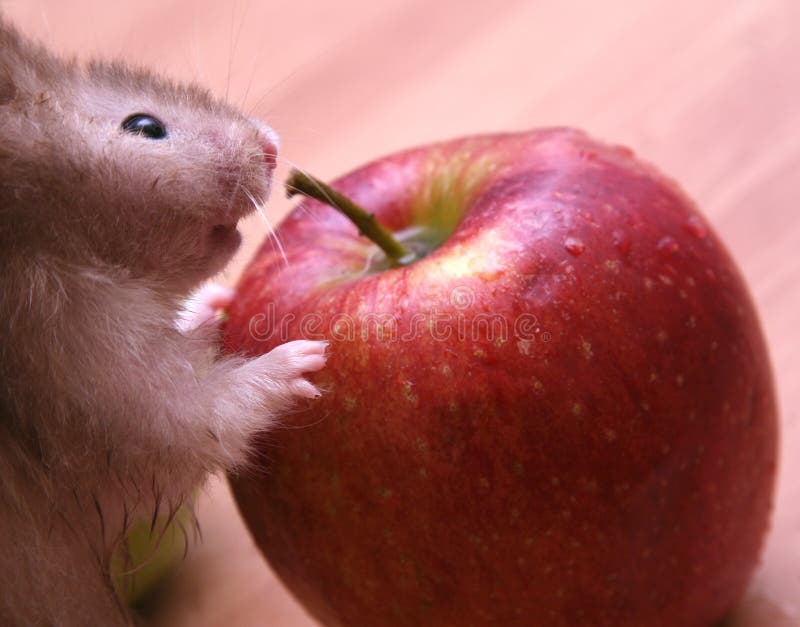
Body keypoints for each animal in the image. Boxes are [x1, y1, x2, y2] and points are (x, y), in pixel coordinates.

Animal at [0, 17, 326, 627]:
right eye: (145, 126)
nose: (272, 144)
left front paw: (216, 305)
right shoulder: (83, 370)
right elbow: (197, 413)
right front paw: (303, 360)